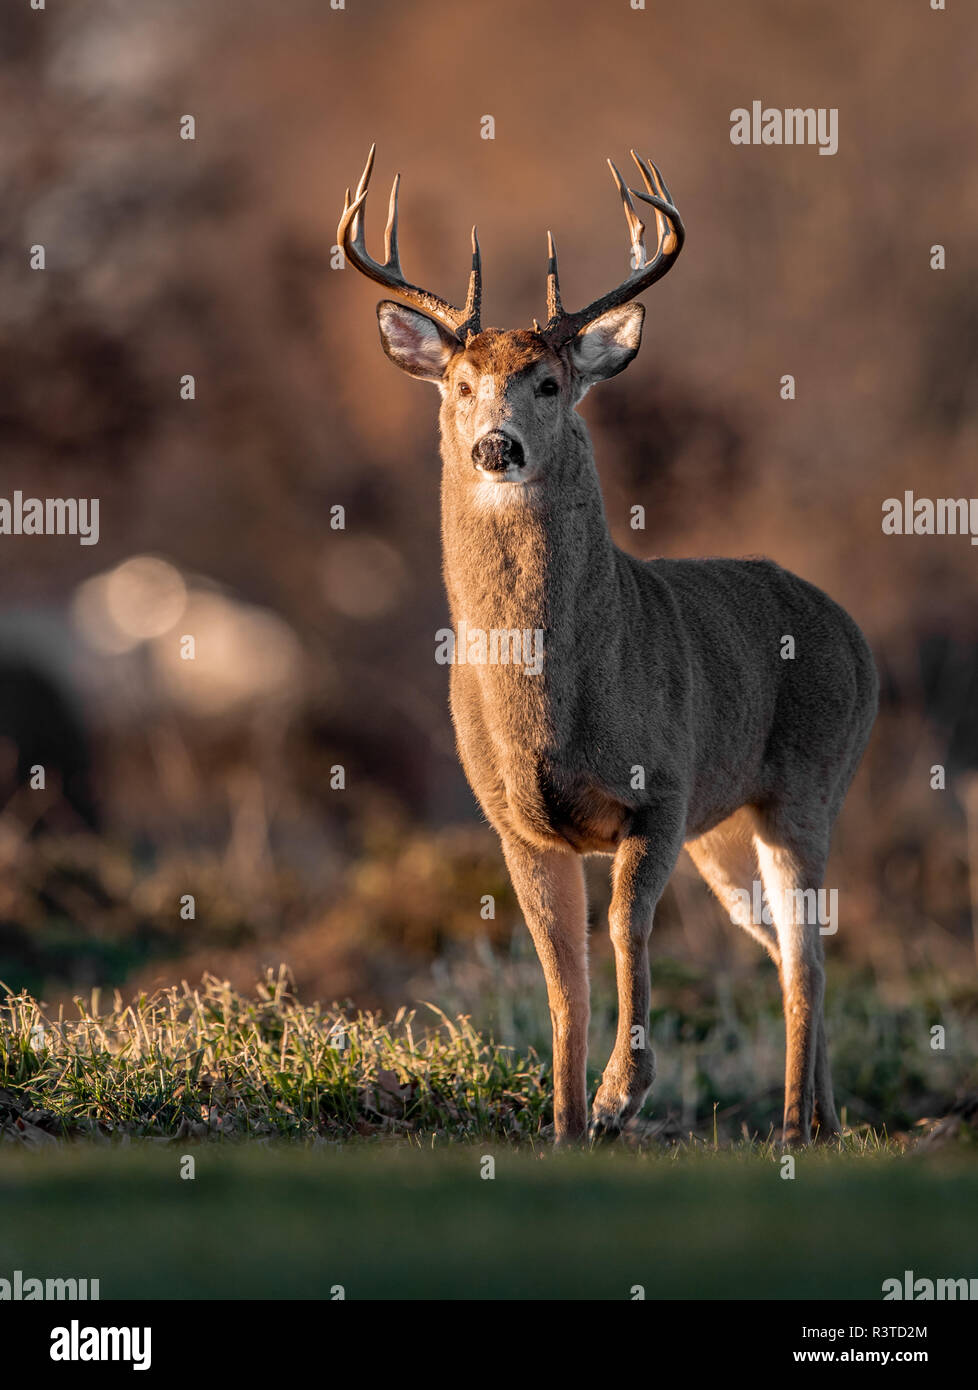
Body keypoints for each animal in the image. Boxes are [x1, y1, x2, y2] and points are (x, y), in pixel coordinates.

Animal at [337, 145, 878, 1147]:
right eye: (460, 385)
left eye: (549, 383)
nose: (496, 445)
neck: (553, 709)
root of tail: (854, 634)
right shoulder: (513, 820)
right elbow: (562, 975)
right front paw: (565, 1124)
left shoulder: (658, 789)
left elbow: (627, 932)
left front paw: (621, 1095)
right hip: (728, 829)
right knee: (784, 942)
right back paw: (823, 1119)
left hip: (808, 782)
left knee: (809, 951)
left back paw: (793, 1124)